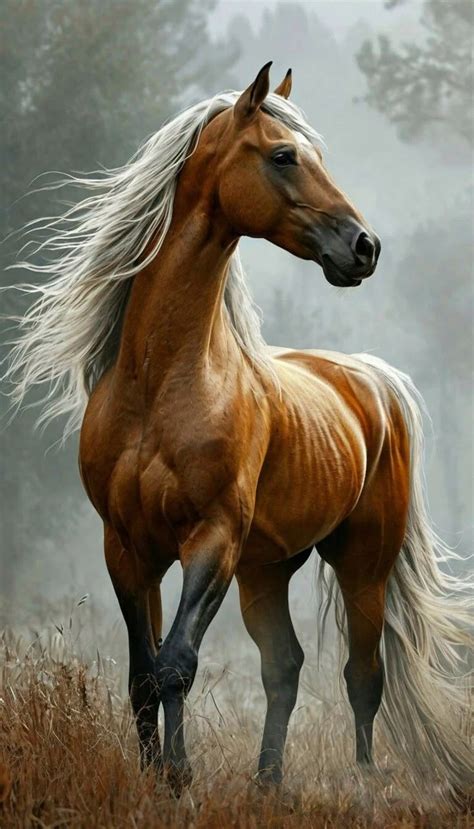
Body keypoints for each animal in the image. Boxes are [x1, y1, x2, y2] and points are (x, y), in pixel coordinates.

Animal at [5, 63, 471, 800]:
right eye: (283, 156)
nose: (363, 247)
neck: (161, 383)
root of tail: (369, 378)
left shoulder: (212, 538)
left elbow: (177, 662)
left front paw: (180, 777)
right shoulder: (127, 547)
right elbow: (142, 673)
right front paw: (155, 780)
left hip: (361, 562)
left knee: (363, 675)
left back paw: (364, 779)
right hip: (267, 569)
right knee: (285, 666)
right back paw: (268, 781)